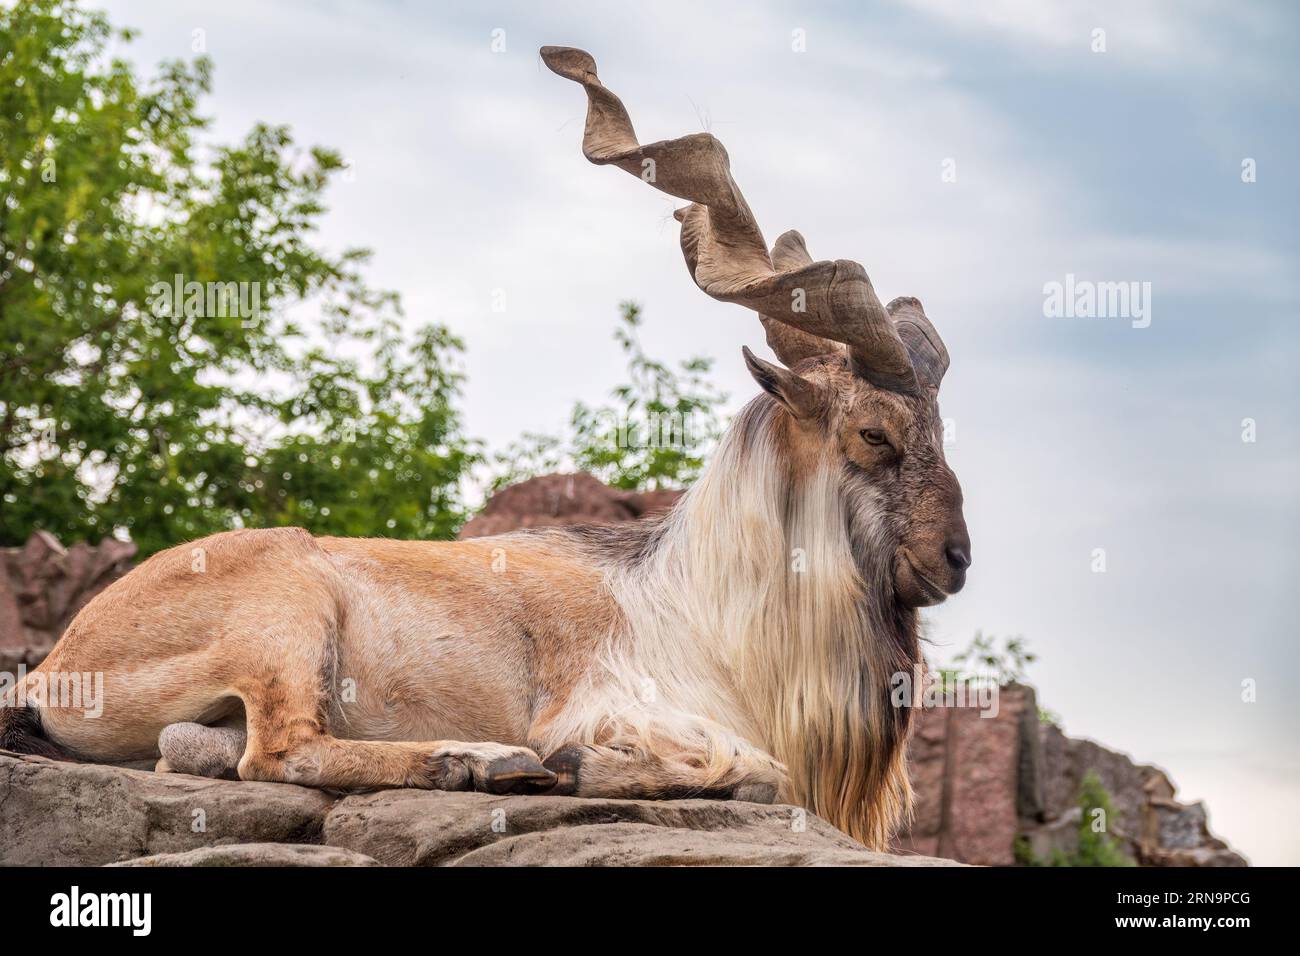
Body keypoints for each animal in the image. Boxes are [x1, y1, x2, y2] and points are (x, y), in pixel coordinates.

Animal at [0, 47, 969, 849]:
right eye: (874, 433)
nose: (955, 558)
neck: (705, 606)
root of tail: (56, 668)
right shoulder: (621, 706)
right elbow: (758, 773)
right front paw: (573, 767)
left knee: (194, 749)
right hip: (287, 609)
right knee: (276, 750)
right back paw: (476, 760)